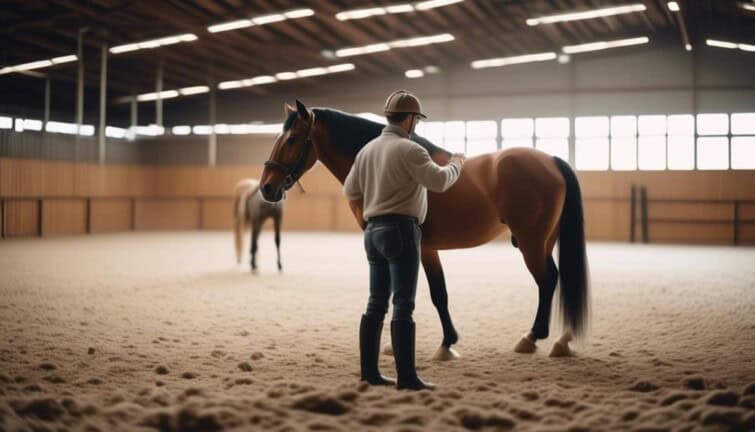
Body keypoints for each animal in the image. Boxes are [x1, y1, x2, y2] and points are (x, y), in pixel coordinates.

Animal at [260, 100, 589, 359]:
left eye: (292, 139)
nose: (267, 188)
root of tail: (552, 161)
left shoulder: (419, 247)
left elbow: (436, 294)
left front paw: (446, 345)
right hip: (545, 240)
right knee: (557, 278)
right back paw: (561, 340)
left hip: (532, 243)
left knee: (547, 280)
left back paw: (533, 338)